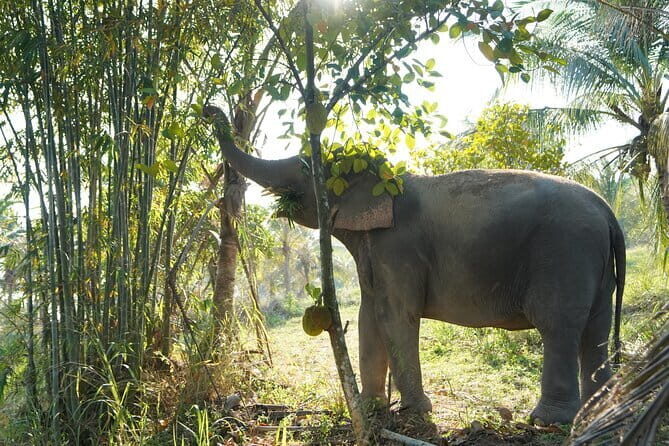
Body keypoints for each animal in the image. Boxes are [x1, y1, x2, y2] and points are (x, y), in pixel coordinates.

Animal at [203, 105, 625, 425]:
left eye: (306, 169)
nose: (210, 109)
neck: (388, 178)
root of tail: (607, 211)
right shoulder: (375, 249)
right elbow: (369, 315)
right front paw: (371, 409)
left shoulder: (398, 245)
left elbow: (395, 315)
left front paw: (414, 413)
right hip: (594, 264)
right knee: (596, 328)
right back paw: (598, 412)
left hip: (566, 252)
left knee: (559, 324)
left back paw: (548, 421)